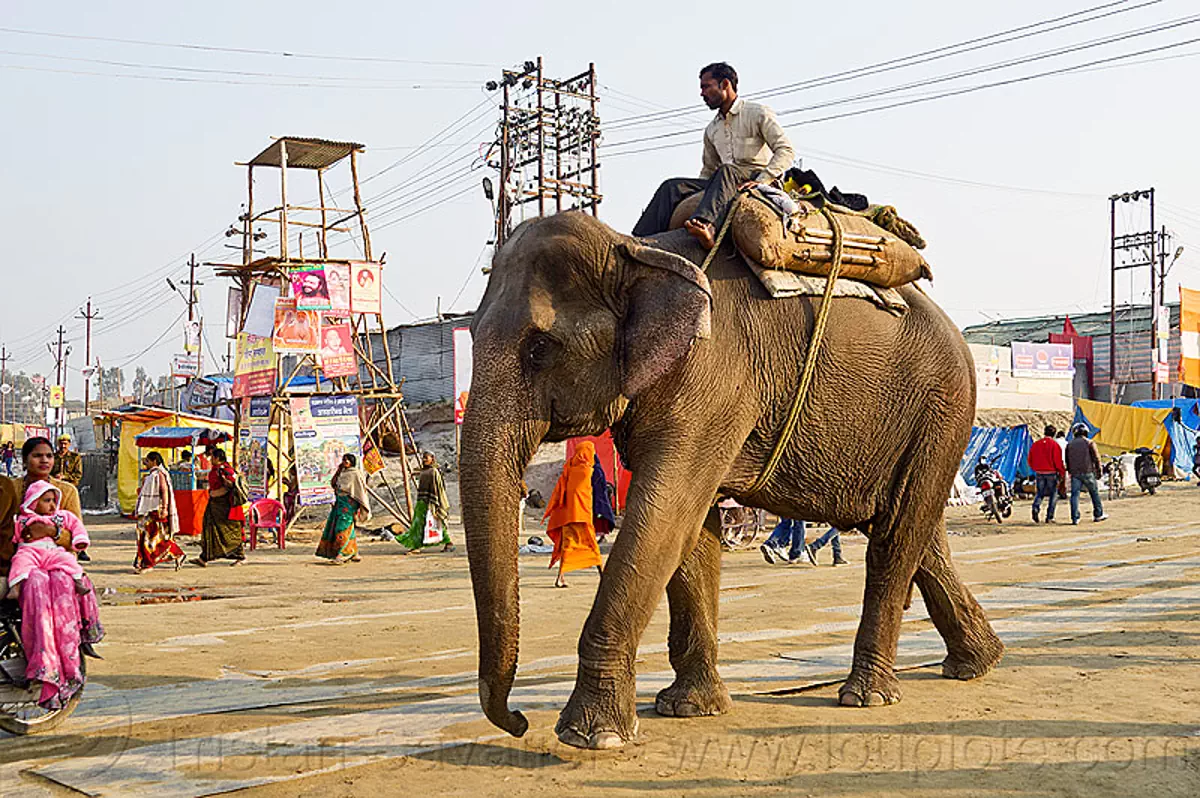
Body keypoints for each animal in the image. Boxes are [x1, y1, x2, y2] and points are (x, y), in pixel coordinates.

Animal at [460, 209, 1004, 751]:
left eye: (539, 348)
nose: (519, 720)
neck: (635, 253)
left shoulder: (713, 377)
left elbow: (666, 514)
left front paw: (591, 736)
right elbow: (689, 529)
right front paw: (688, 708)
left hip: (943, 408)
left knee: (896, 536)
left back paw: (867, 695)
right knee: (915, 533)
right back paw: (977, 662)